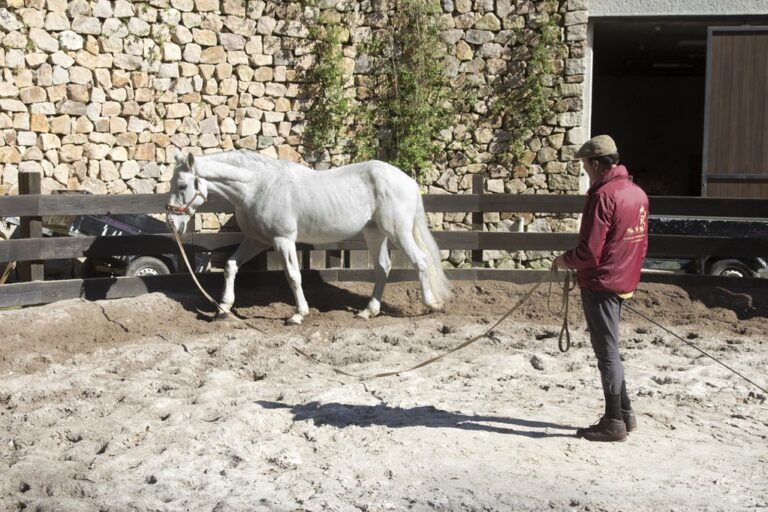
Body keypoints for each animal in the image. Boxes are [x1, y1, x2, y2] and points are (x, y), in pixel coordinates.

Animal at [165, 150, 452, 325]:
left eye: (182, 185)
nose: (172, 222)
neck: (259, 186)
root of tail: (409, 181)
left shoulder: (282, 240)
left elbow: (293, 276)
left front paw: (298, 315)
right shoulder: (257, 240)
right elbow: (230, 265)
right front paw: (223, 308)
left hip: (397, 231)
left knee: (421, 261)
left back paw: (431, 305)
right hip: (375, 232)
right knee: (383, 268)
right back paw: (367, 312)